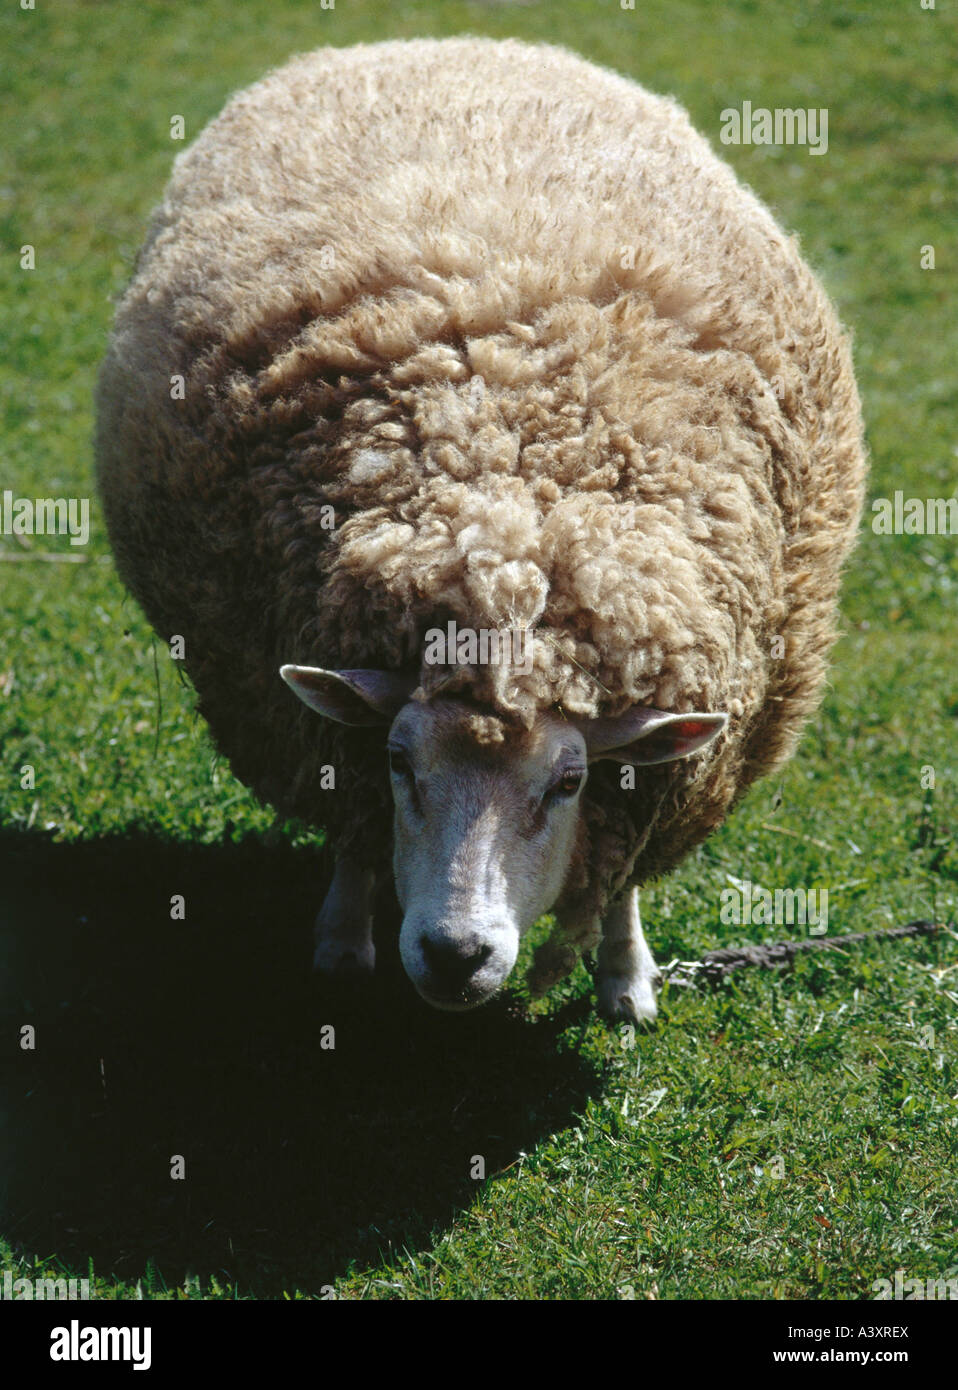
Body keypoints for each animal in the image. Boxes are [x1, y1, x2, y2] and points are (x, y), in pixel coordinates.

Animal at [95, 37, 867, 1023]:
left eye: (570, 782)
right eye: (399, 762)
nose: (455, 954)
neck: (513, 542)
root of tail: (430, 42)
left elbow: (621, 878)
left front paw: (626, 977)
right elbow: (355, 834)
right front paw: (342, 940)